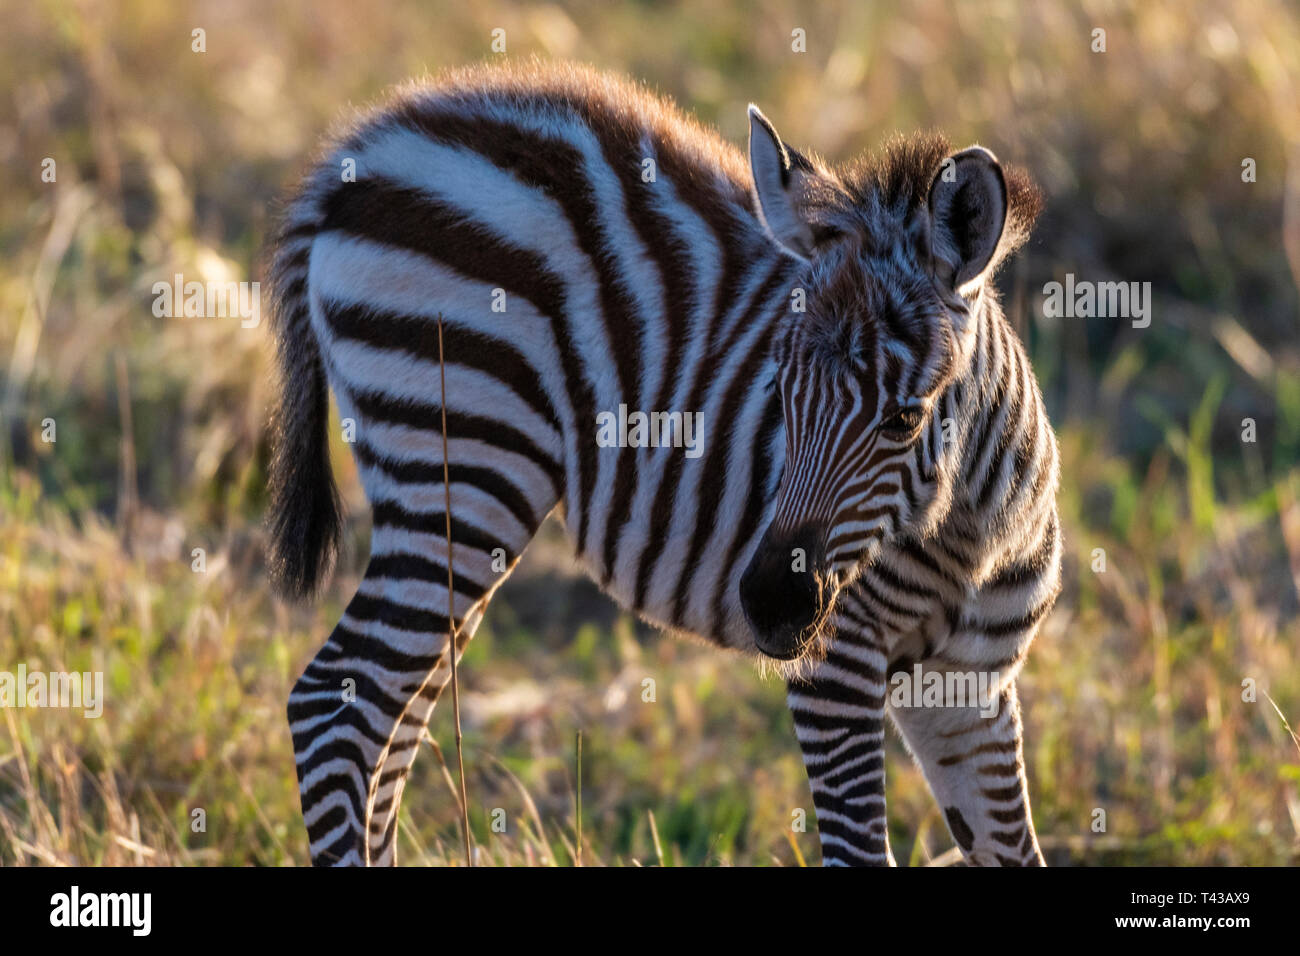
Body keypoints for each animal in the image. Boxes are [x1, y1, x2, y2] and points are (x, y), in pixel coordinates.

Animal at [267, 61, 1060, 867]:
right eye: (780, 394)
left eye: (905, 418)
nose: (768, 605)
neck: (971, 530)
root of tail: (362, 148)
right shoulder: (835, 672)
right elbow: (861, 852)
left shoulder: (968, 692)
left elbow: (1015, 850)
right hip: (461, 462)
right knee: (335, 708)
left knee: (390, 732)